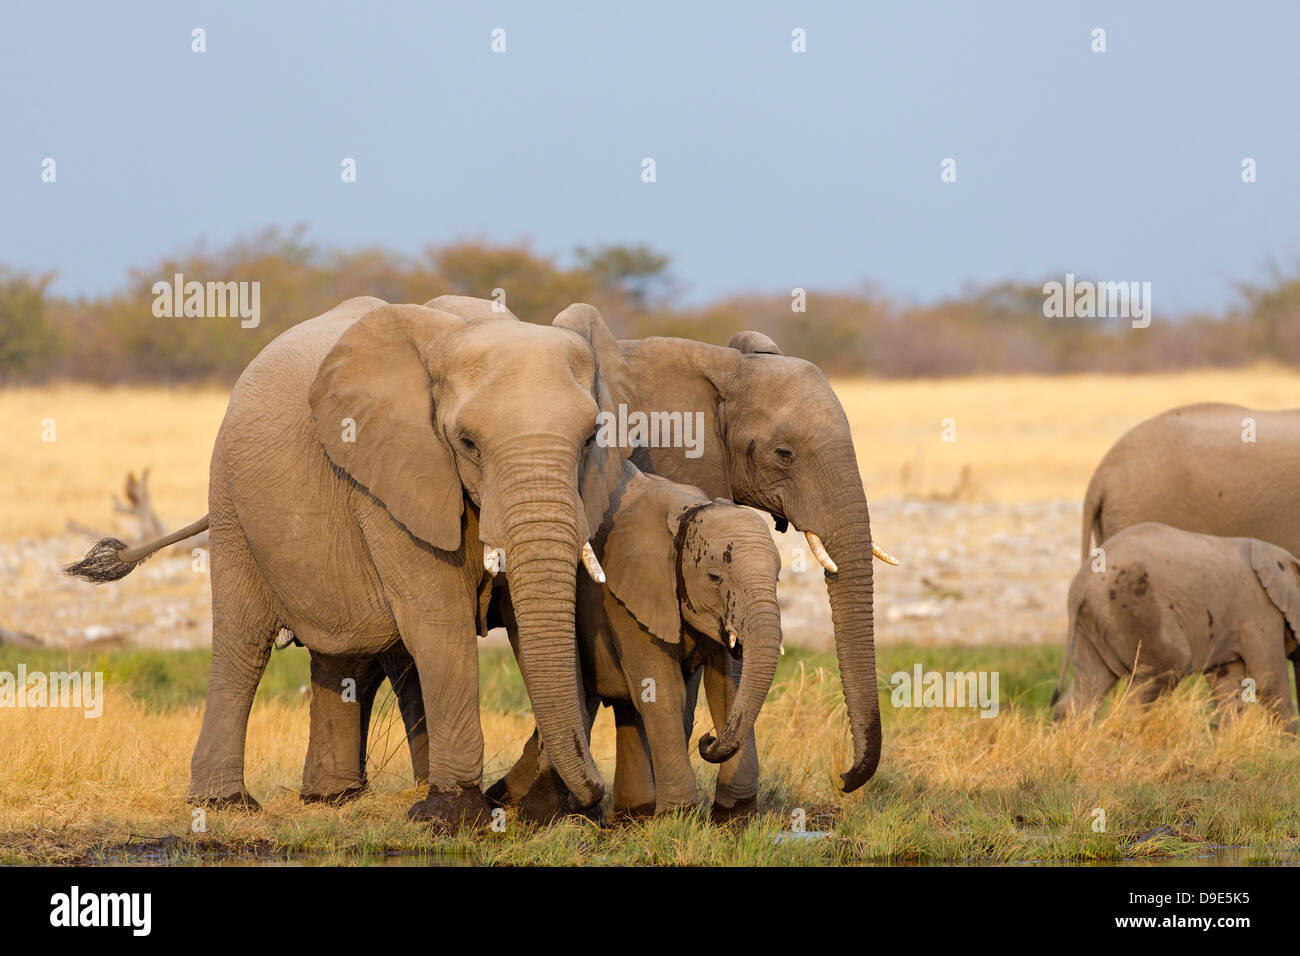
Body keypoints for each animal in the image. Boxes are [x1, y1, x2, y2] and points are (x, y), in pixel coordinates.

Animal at [67, 295, 639, 826]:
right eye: (468, 443)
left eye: (591, 439)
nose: (592, 796)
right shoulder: (393, 478)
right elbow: (438, 621)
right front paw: (451, 816)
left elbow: (528, 622)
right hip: (229, 500)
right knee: (242, 643)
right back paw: (224, 804)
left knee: (346, 653)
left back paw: (332, 798)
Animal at [488, 460, 783, 821]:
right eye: (715, 577)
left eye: (778, 577)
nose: (708, 740)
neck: (685, 514)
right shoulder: (626, 597)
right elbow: (663, 692)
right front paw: (677, 817)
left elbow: (727, 688)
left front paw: (736, 817)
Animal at [1051, 522, 1300, 727]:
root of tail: (1079, 586)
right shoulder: (1259, 609)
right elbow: (1268, 681)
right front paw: (1286, 751)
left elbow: (1226, 683)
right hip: (1134, 608)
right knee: (1164, 671)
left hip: (1095, 623)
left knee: (1088, 688)